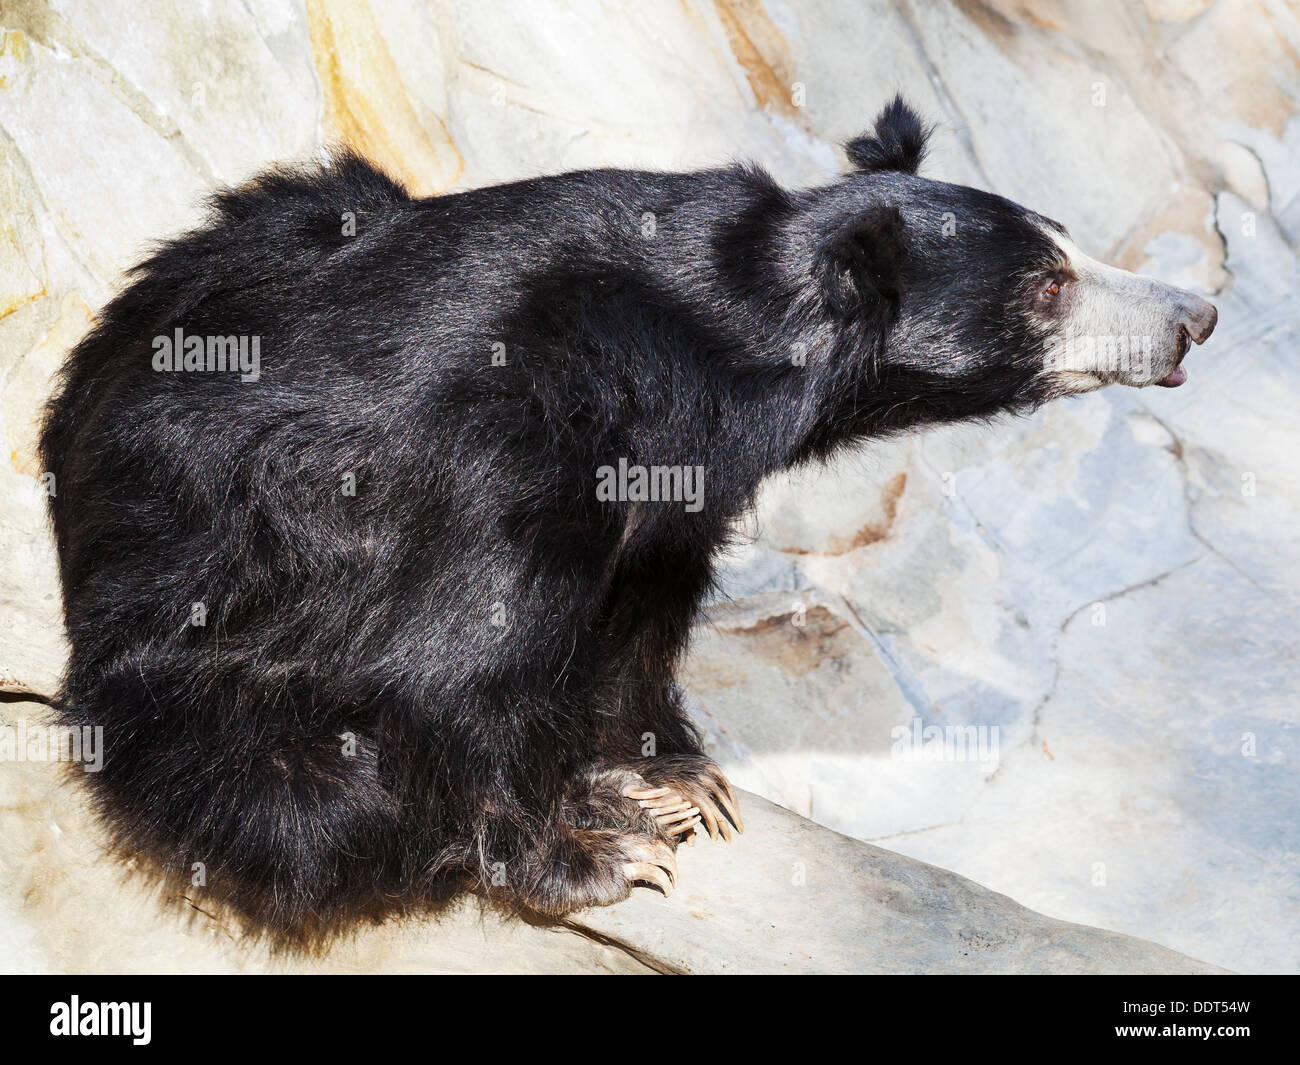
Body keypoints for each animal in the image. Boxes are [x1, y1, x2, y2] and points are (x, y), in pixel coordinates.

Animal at [39, 96, 1217, 941]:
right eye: (1049, 287)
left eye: (1071, 250)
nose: (1194, 317)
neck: (730, 340)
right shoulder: (508, 455)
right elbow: (456, 659)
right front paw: (593, 858)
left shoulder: (676, 484)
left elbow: (644, 600)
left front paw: (668, 774)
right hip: (209, 687)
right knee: (309, 803)